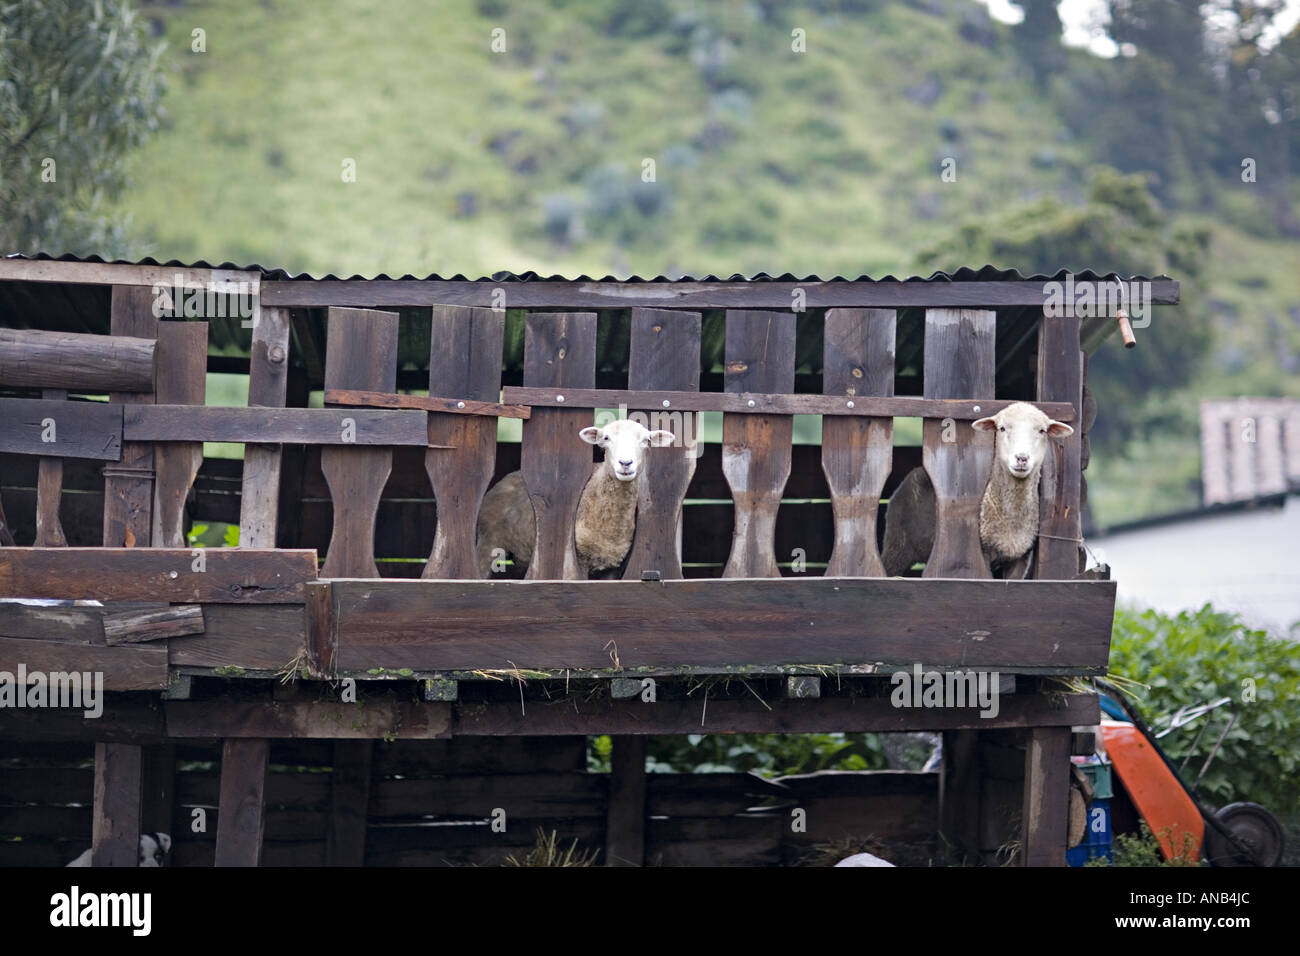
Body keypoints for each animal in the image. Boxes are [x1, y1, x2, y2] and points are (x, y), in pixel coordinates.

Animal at [475, 418, 681, 578]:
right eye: (606, 438)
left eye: (646, 440)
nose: (625, 463)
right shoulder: (579, 561)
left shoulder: (612, 567)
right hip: (488, 541)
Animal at [881, 402, 1074, 578]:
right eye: (1002, 428)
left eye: (1042, 431)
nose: (1021, 458)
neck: (1011, 522)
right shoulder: (983, 554)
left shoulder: (1021, 558)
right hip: (897, 544)